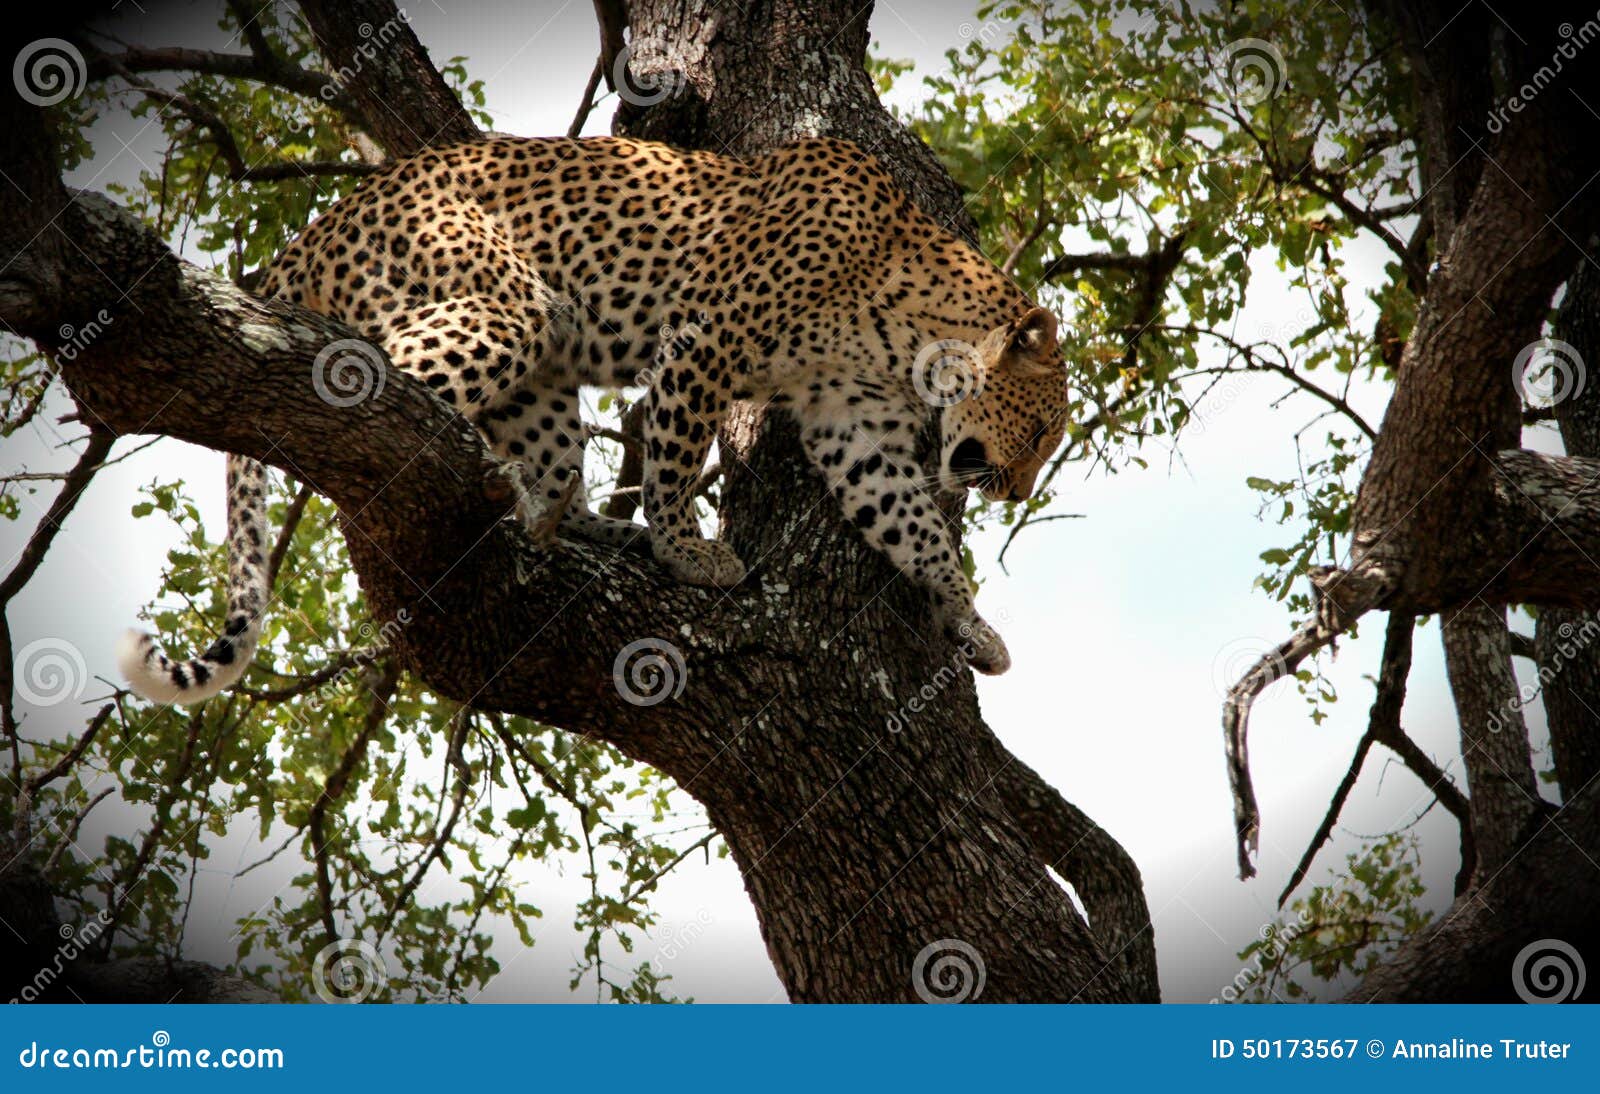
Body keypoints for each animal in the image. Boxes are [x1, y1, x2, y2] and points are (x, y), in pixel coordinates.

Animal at [117, 135, 1070, 704]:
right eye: (1041, 434)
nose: (1019, 491)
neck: (908, 331)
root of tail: (315, 230)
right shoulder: (704, 338)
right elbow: (677, 460)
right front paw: (690, 552)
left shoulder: (852, 425)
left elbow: (913, 526)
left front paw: (970, 621)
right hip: (505, 307)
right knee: (372, 389)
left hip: (540, 384)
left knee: (554, 482)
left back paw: (573, 524)